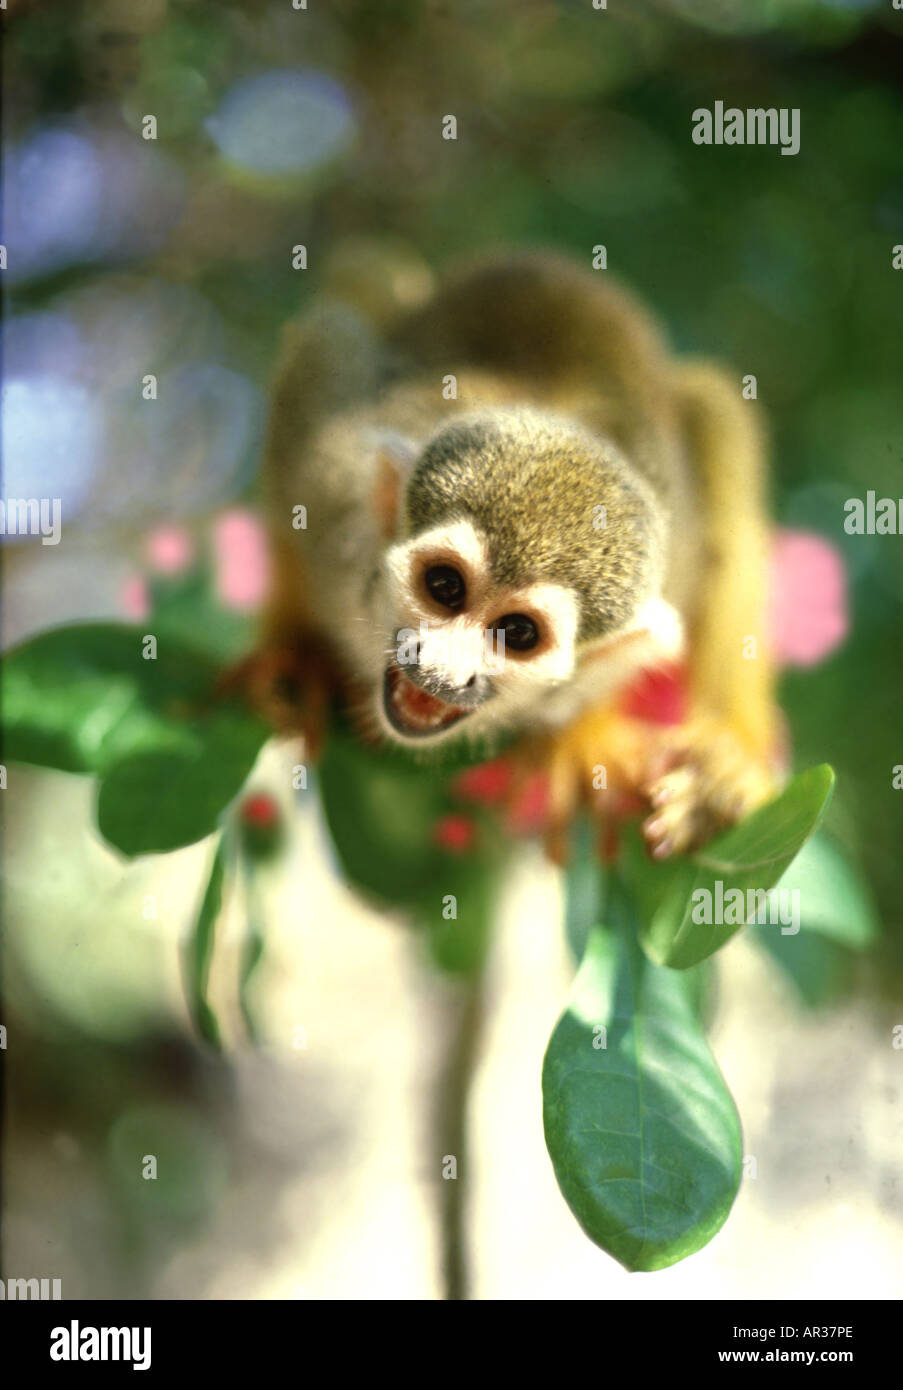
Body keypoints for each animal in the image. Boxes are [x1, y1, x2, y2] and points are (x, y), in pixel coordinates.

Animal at [250, 248, 779, 860]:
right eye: (445, 586)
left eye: (519, 633)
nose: (441, 668)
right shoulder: (330, 477)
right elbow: (321, 367)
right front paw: (301, 654)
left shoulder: (676, 556)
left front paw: (582, 736)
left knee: (718, 419)